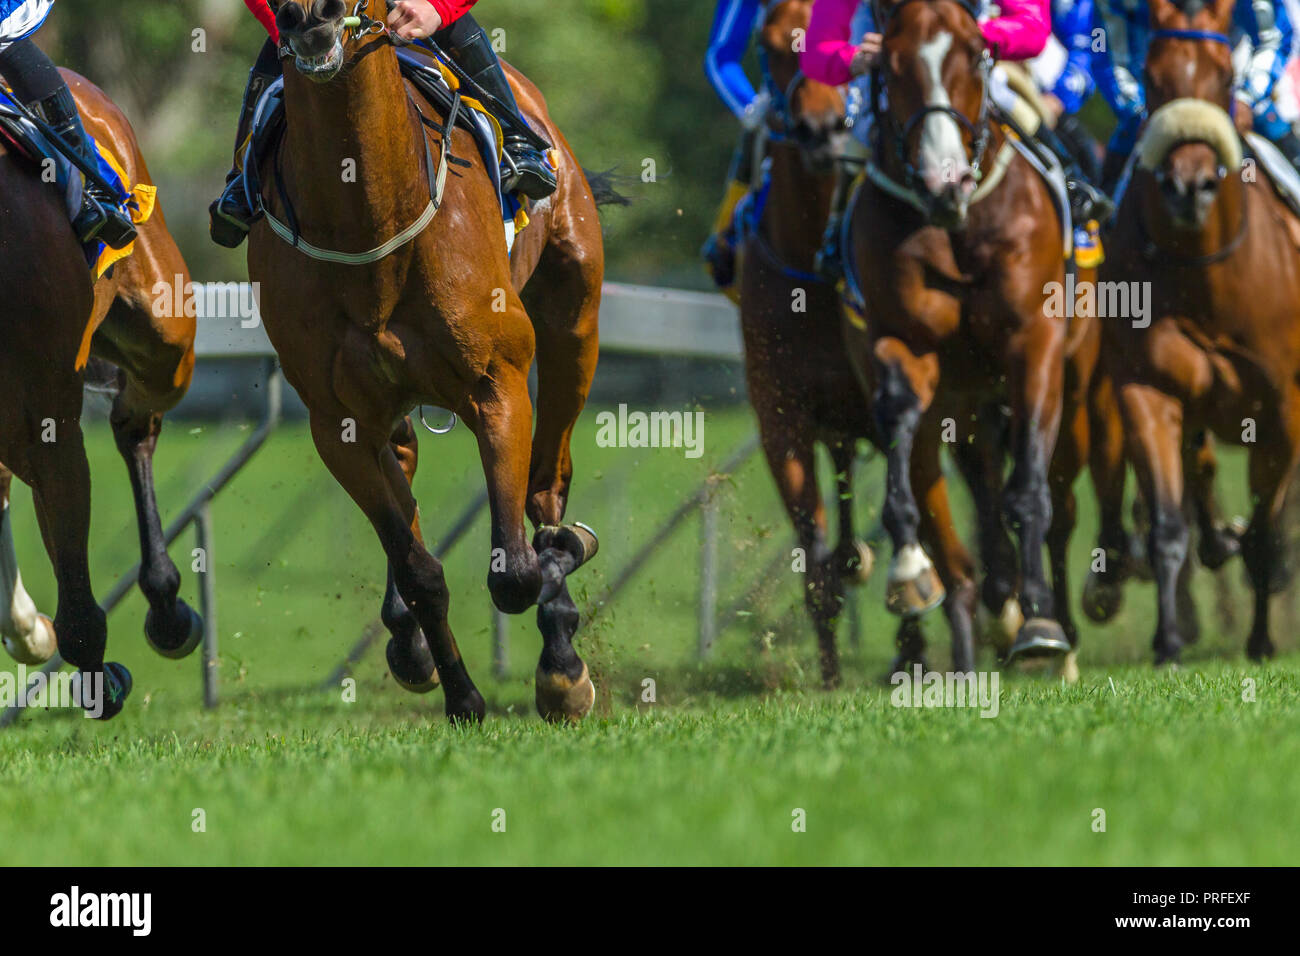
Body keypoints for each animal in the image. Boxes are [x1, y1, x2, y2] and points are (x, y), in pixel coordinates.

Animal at [0, 69, 200, 717]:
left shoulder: (48, 426)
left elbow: (81, 612)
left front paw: (97, 677)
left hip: (167, 335)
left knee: (134, 423)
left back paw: (166, 606)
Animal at [248, 0, 613, 722]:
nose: (313, 15)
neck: (369, 221)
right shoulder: (338, 425)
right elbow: (419, 568)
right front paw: (462, 694)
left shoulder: (498, 384)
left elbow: (515, 571)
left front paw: (558, 631)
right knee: (409, 472)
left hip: (573, 319)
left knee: (547, 483)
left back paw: (561, 635)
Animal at [1100, 0, 1300, 663]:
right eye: (1152, 76)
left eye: (1225, 76)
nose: (1189, 186)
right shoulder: (1146, 386)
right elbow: (1168, 522)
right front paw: (1167, 643)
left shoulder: (1282, 406)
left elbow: (1267, 531)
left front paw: (1261, 640)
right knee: (1201, 469)